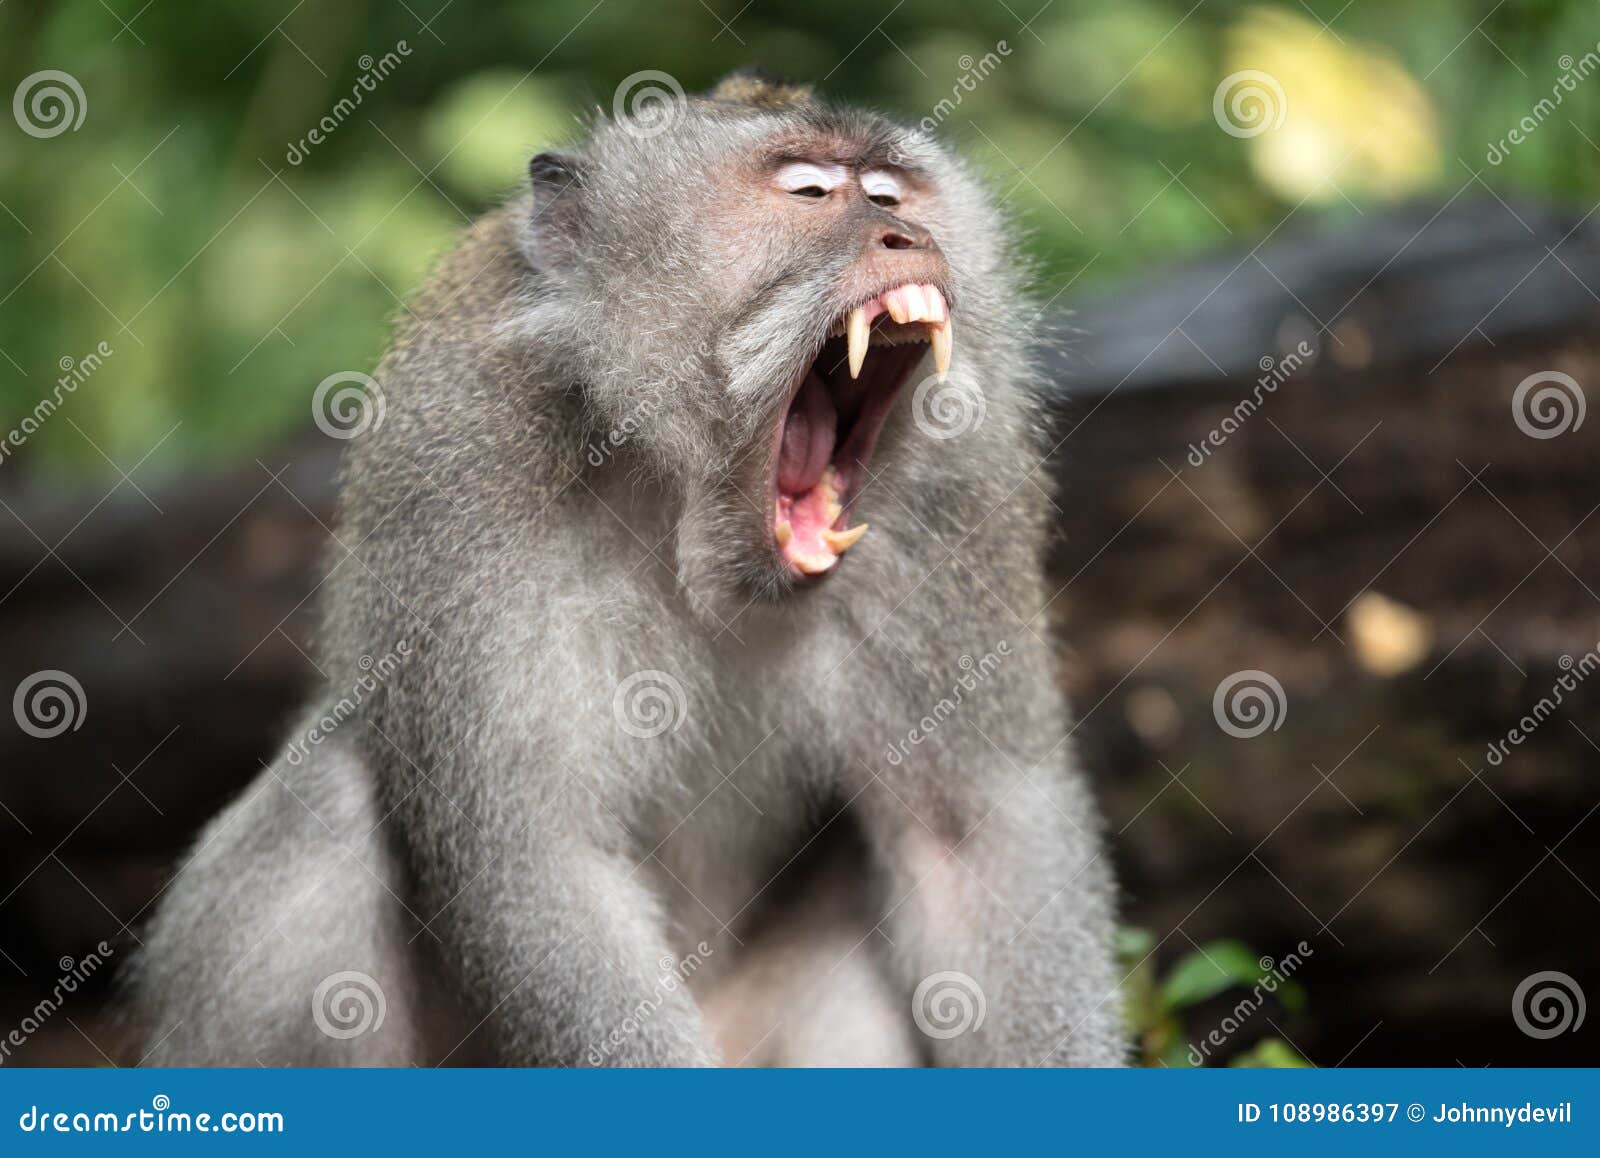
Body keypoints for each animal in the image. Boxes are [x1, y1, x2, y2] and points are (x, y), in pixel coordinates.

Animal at [128, 73, 1126, 1067]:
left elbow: (969, 835)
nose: (907, 237)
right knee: (325, 809)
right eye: (809, 191)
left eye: (889, 194)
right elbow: (538, 861)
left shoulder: (964, 494)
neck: (681, 501)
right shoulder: (463, 464)